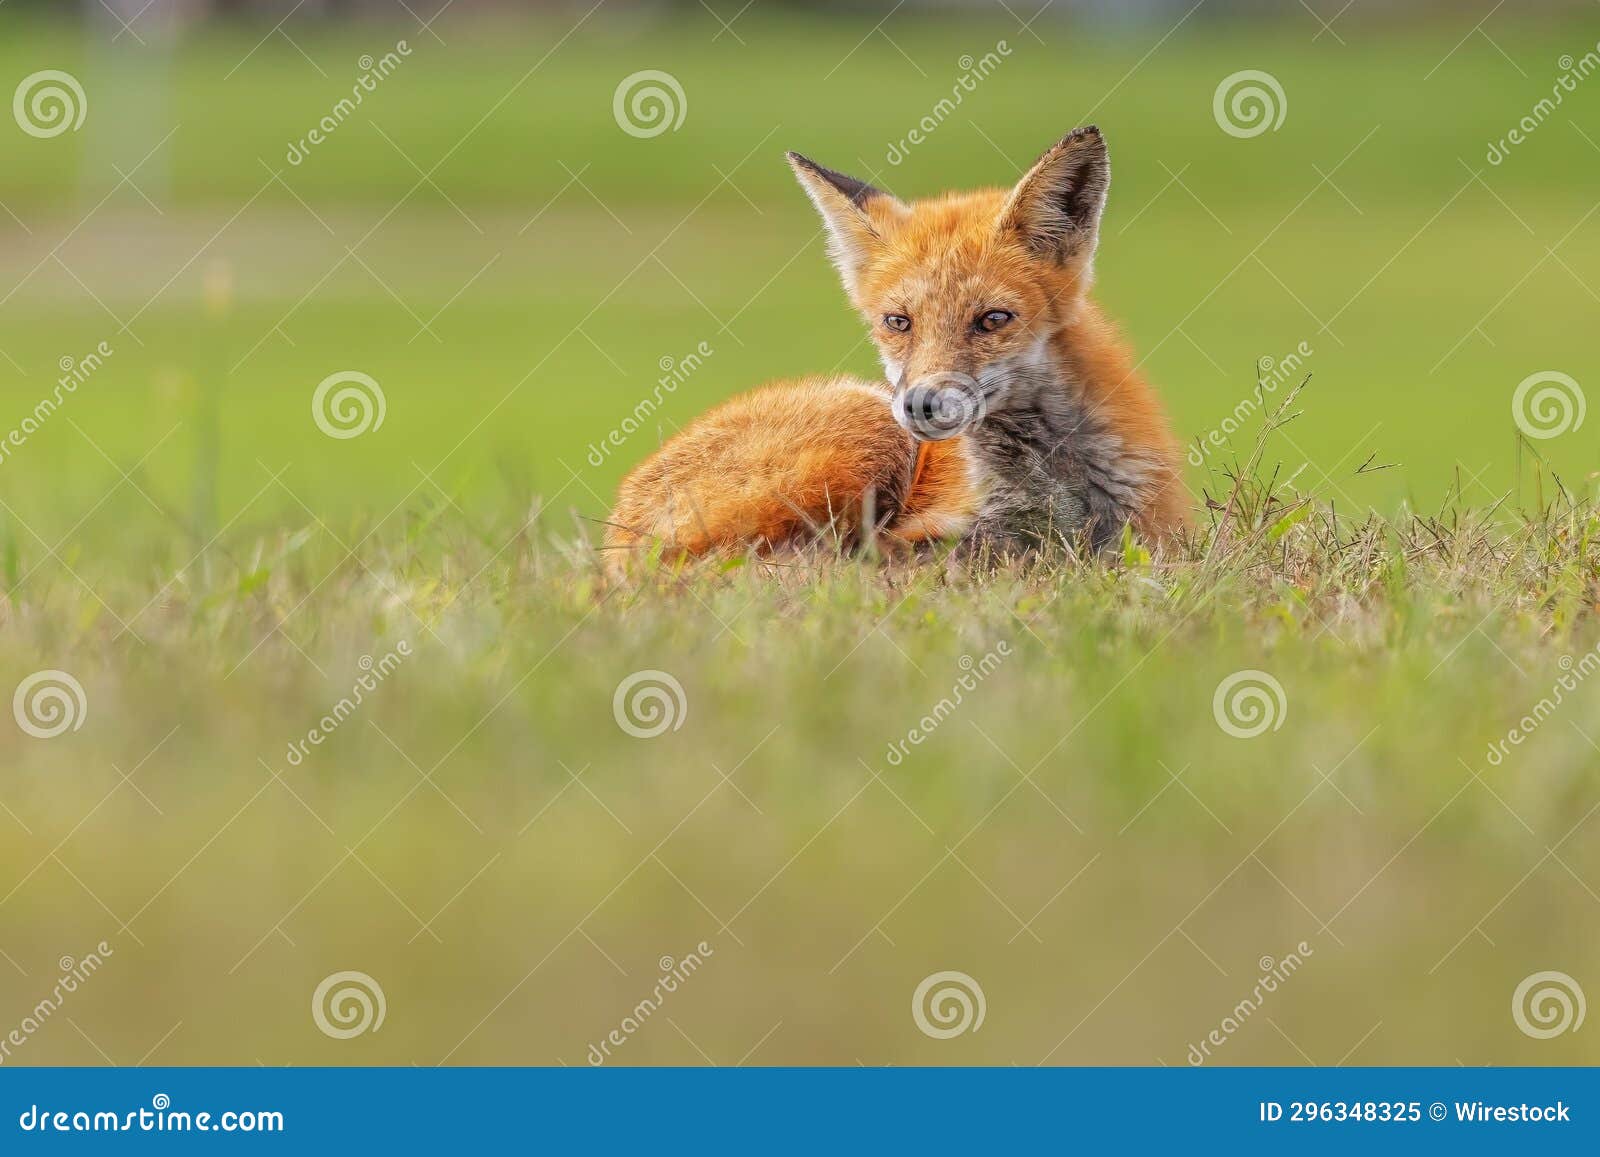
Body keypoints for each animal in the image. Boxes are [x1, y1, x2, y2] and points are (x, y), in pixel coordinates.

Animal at [604, 125, 1188, 573]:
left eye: (993, 319)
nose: (920, 405)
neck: (1050, 479)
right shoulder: (936, 529)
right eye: (898, 322)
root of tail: (615, 530)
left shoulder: (1148, 534)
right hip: (869, 432)